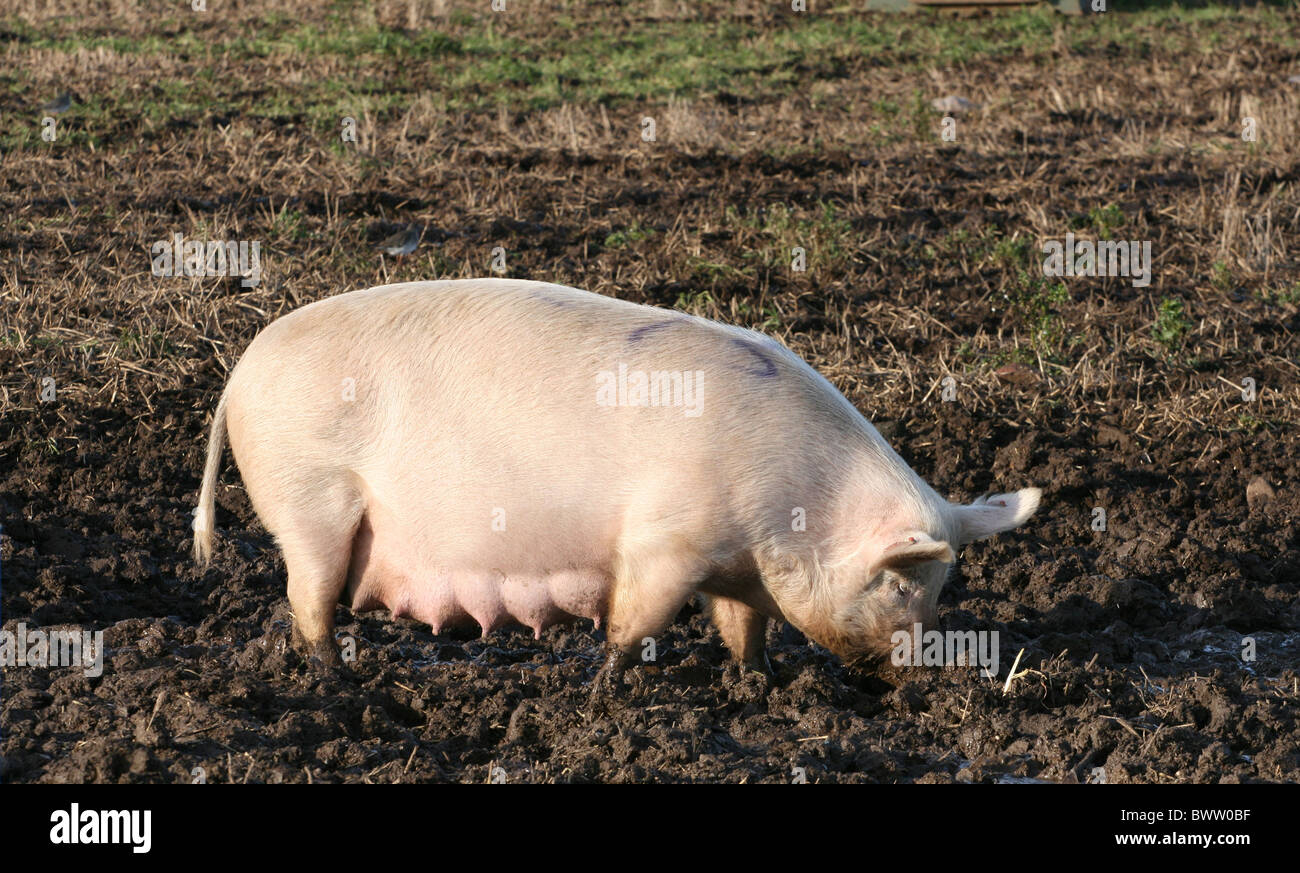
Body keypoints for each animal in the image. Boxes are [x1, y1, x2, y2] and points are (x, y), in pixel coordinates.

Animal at [193, 278, 1040, 686]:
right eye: (898, 585)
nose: (913, 679)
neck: (798, 511)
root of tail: (238, 376)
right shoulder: (665, 540)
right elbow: (632, 625)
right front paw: (601, 695)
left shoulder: (734, 565)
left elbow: (744, 630)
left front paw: (761, 685)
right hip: (310, 503)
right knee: (307, 605)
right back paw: (337, 685)